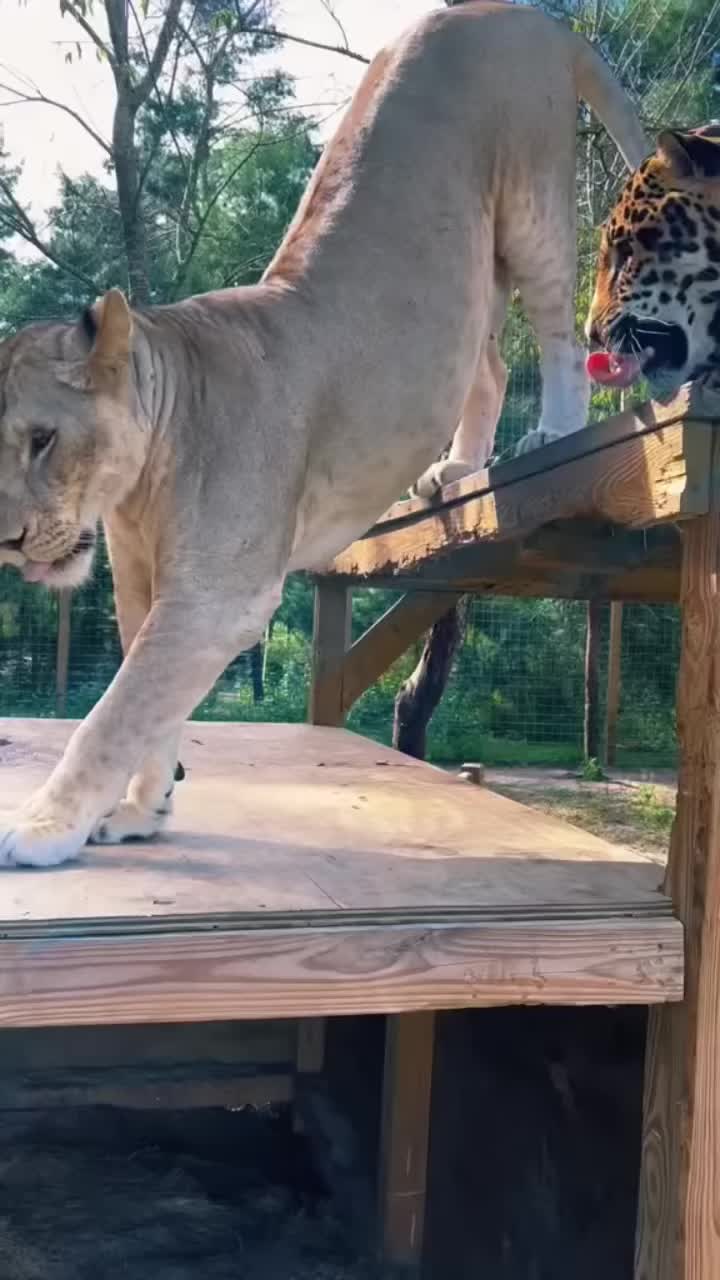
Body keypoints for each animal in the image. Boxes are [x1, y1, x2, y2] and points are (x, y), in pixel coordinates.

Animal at [0, 1, 645, 867]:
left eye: (42, 440)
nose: (6, 543)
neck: (140, 481)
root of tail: (521, 15)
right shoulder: (146, 592)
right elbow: (151, 713)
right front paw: (142, 809)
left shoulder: (217, 596)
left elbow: (115, 715)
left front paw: (43, 827)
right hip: (469, 282)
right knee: (487, 367)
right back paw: (456, 473)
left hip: (533, 198)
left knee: (559, 331)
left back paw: (550, 435)